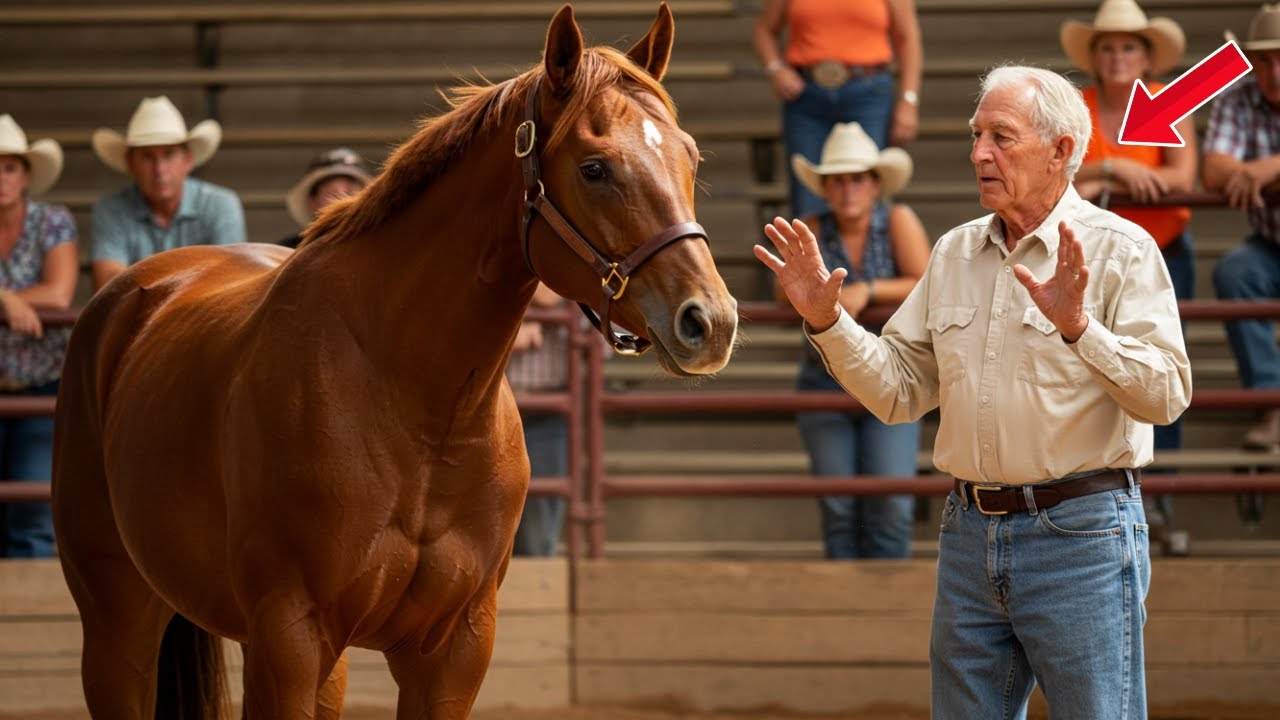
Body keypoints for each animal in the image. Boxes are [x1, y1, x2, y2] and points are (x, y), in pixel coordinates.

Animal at [50, 4, 737, 717]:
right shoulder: (290, 639)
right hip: (120, 628)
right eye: (595, 168)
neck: (418, 409)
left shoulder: (454, 651)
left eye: (690, 156)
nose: (710, 321)